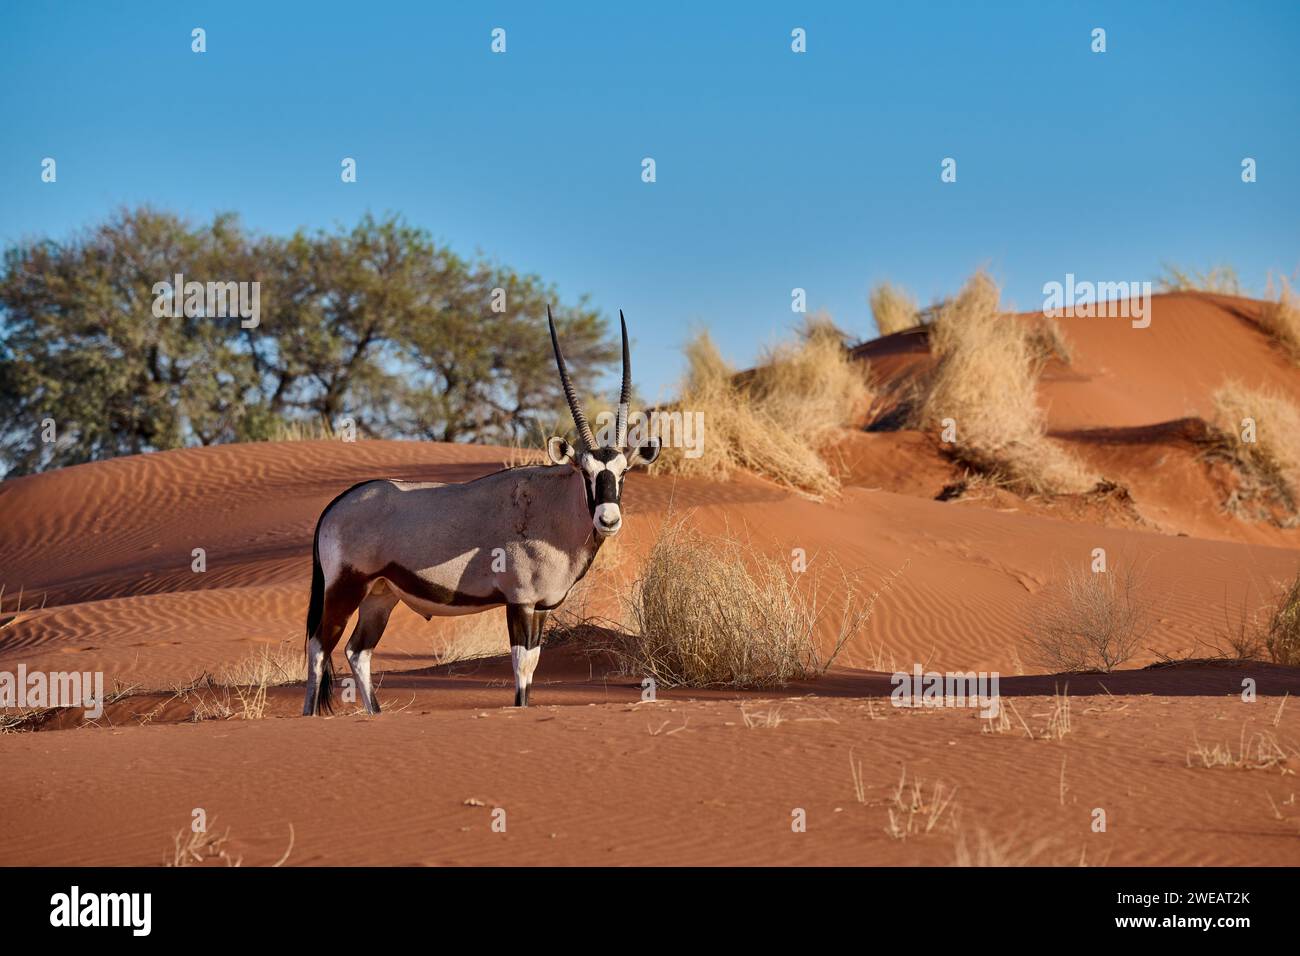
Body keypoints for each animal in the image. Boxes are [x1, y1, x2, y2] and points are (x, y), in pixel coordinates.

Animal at [302, 308, 660, 715]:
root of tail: (337, 504)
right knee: (319, 648)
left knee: (357, 650)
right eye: (585, 472)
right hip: (344, 589)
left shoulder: (541, 607)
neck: (551, 505)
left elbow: (533, 664)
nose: (608, 519)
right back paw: (309, 716)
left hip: (380, 596)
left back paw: (375, 714)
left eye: (623, 472)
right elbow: (521, 664)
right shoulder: (519, 601)